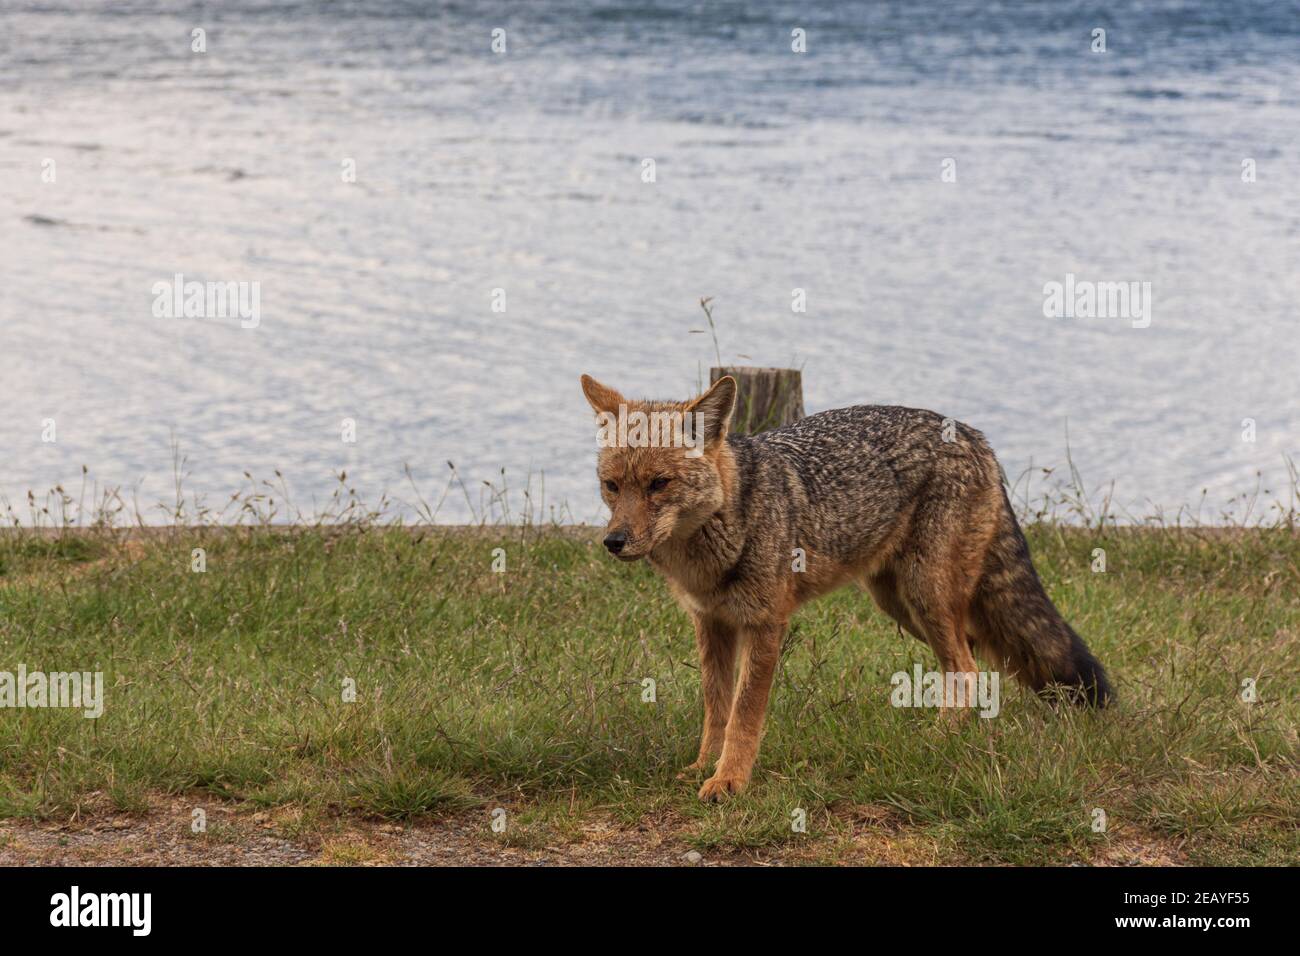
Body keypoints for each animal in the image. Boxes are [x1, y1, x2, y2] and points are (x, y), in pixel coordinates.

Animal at [581, 373, 1112, 802]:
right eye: (613, 486)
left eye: (659, 484)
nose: (613, 541)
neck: (721, 537)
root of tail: (973, 434)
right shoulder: (710, 623)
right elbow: (717, 710)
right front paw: (702, 768)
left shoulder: (766, 626)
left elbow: (744, 715)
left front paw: (730, 781)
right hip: (904, 607)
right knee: (976, 664)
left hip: (926, 599)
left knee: (967, 670)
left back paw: (938, 741)